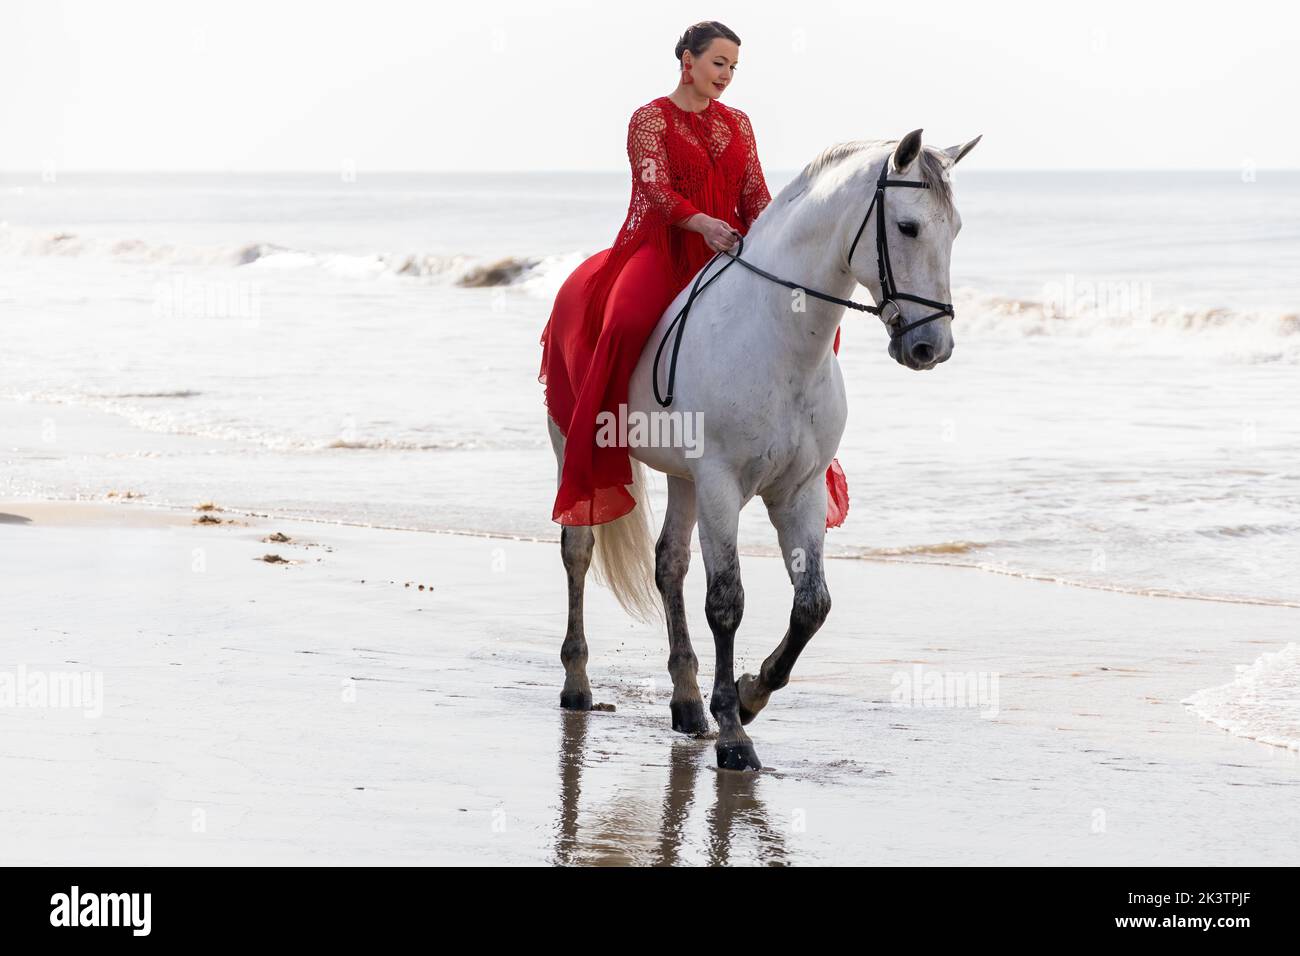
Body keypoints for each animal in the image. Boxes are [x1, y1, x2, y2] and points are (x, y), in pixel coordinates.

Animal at [546, 129, 981, 770]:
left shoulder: (799, 491)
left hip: (683, 480)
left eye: (954, 229)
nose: (932, 346)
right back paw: (578, 684)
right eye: (907, 227)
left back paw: (686, 702)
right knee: (578, 550)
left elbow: (812, 606)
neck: (779, 337)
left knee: (669, 566)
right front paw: (734, 734)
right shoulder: (722, 485)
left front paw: (751, 695)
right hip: (573, 447)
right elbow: (727, 601)